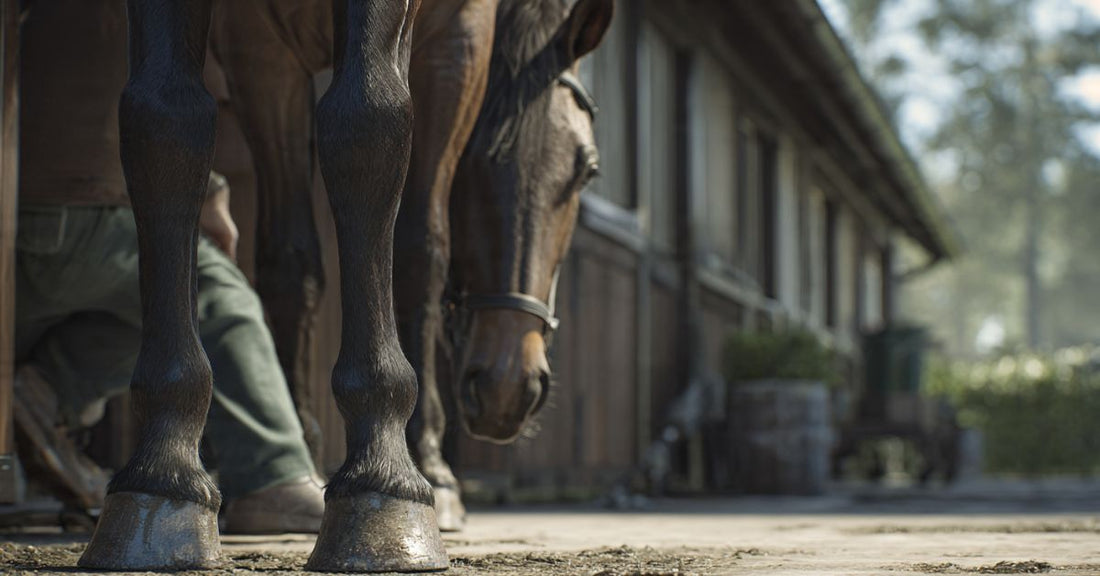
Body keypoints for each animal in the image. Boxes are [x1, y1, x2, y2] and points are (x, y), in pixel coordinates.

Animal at [212, 0, 613, 534]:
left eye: (585, 170)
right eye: (473, 157)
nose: (507, 387)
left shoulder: (455, 42)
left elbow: (421, 252)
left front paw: (429, 465)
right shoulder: (257, 43)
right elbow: (291, 259)